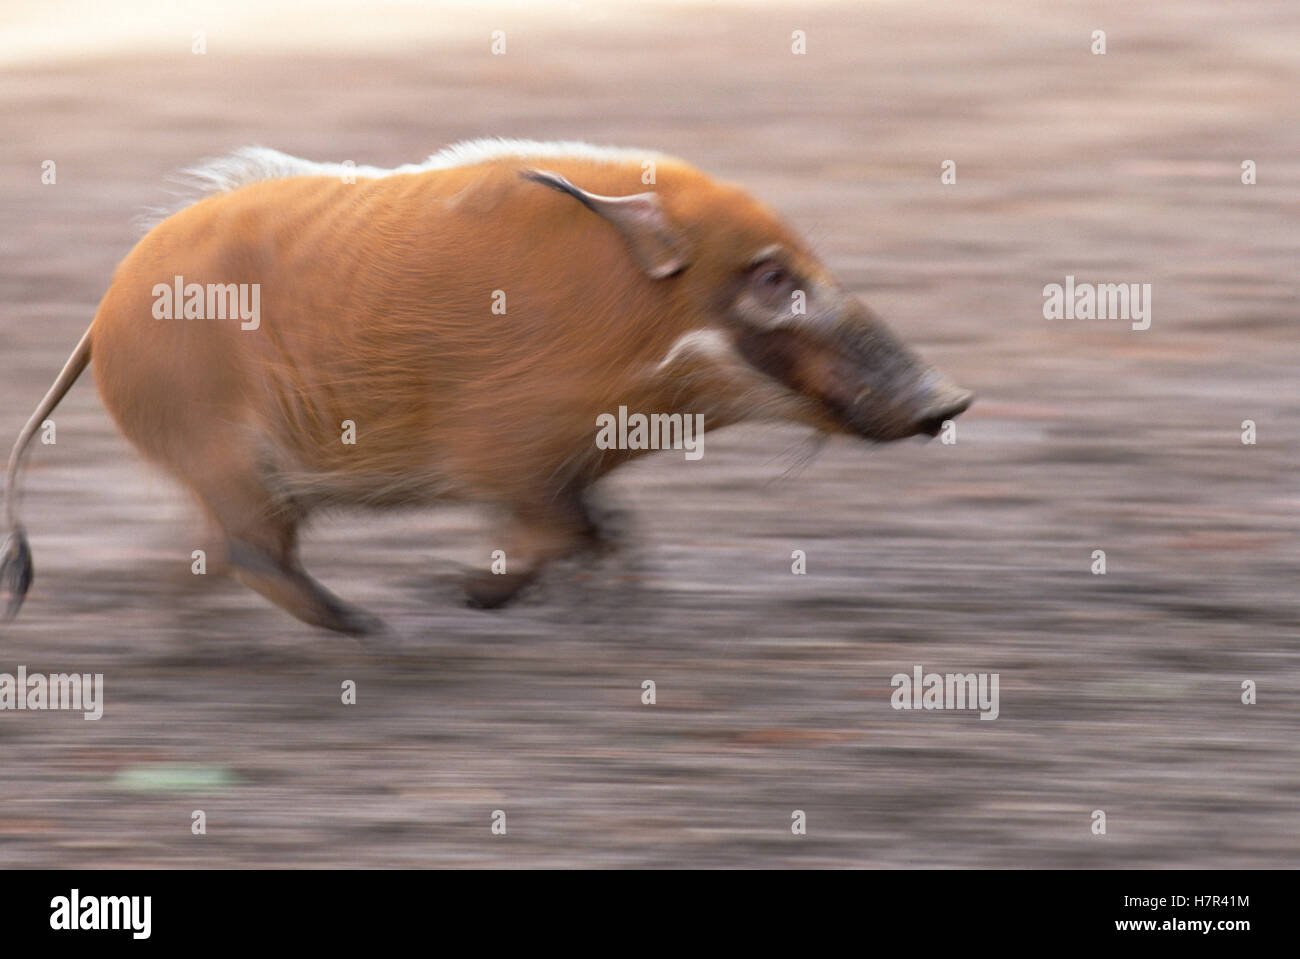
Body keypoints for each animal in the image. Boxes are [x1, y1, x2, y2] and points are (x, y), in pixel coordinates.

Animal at [1, 139, 972, 634]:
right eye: (771, 277)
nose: (948, 402)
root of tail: (99, 318)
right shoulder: (508, 457)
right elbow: (562, 534)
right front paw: (459, 593)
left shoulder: (567, 467)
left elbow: (608, 529)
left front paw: (625, 602)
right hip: (226, 458)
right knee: (254, 554)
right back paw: (370, 624)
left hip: (218, 474)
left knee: (207, 552)